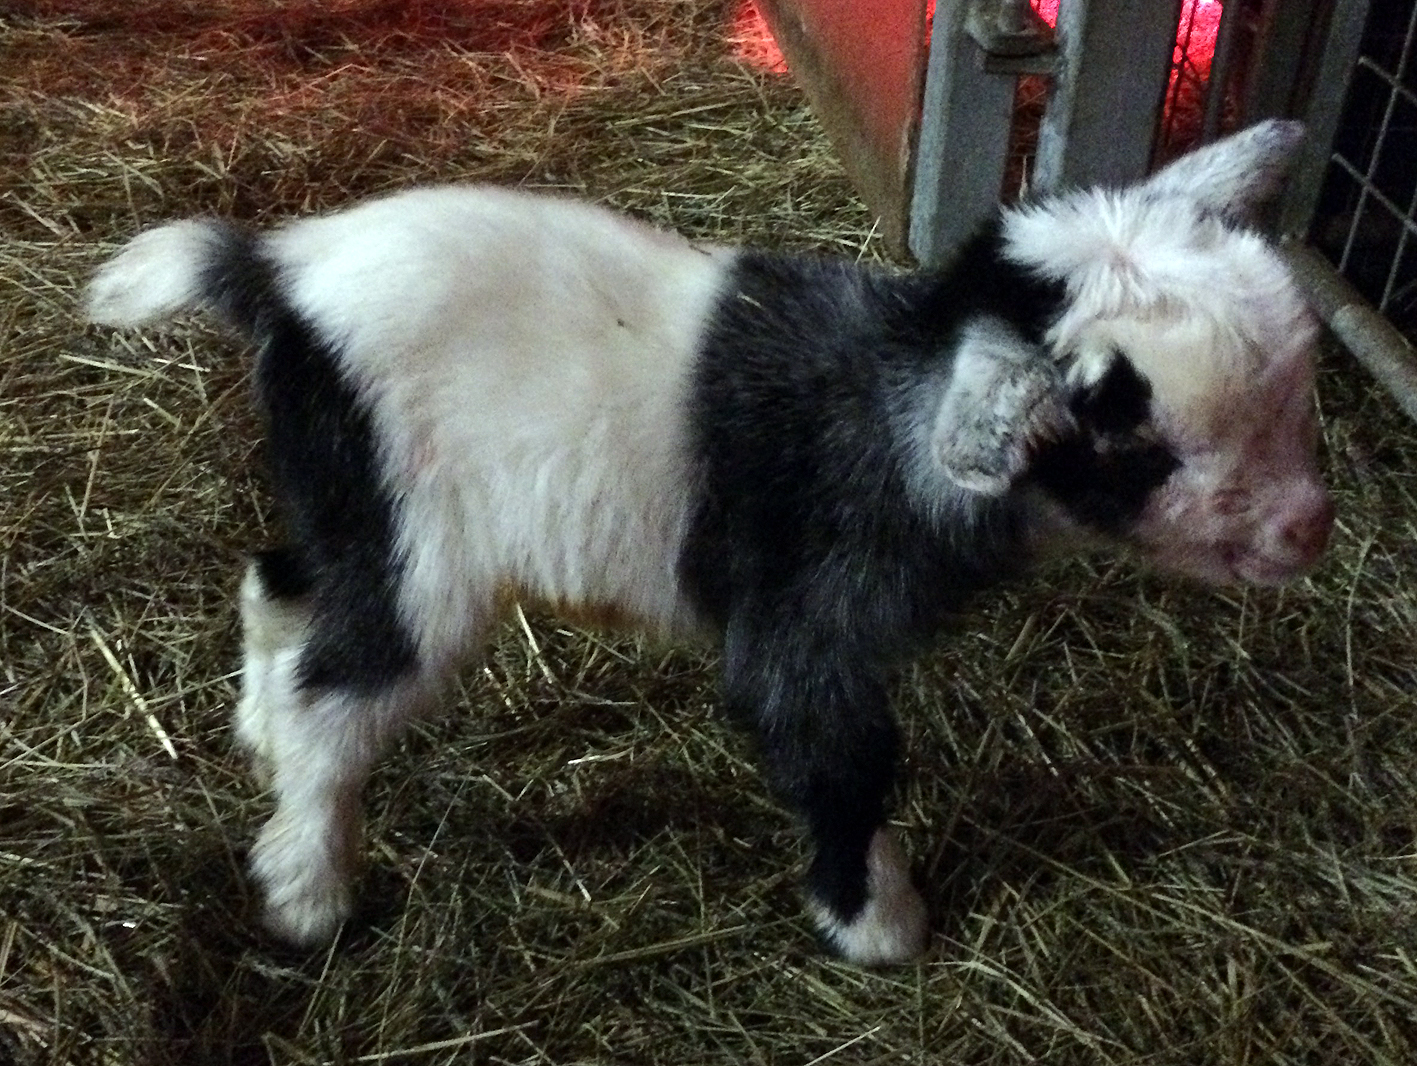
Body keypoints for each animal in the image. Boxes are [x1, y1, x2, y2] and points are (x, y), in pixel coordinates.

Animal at [86, 119, 1333, 967]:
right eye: (1135, 436)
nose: (1307, 527)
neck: (892, 407)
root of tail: (272, 273)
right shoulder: (805, 622)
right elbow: (841, 757)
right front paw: (878, 919)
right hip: (419, 538)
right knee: (340, 692)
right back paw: (307, 890)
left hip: (351, 496)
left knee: (283, 585)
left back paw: (258, 733)